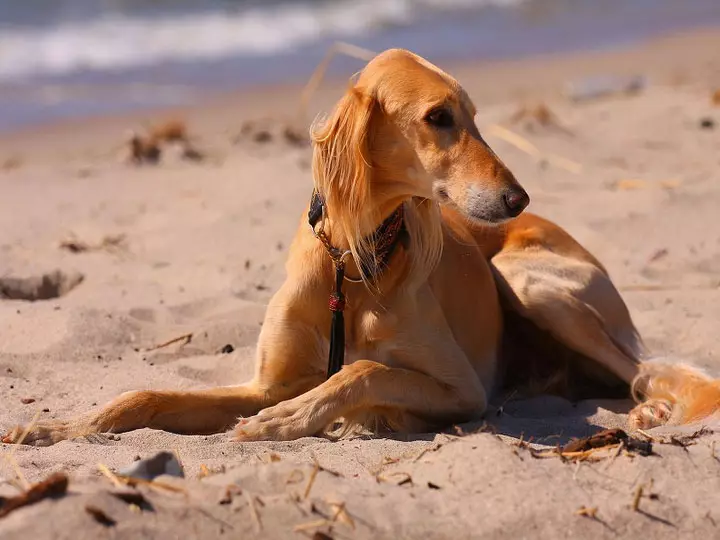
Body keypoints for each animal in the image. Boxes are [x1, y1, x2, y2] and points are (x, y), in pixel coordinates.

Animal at [2, 49, 716, 448]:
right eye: (439, 118)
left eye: (475, 116)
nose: (517, 198)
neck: (351, 264)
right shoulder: (265, 382)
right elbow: (143, 397)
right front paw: (57, 429)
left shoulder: (463, 387)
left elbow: (361, 370)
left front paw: (293, 423)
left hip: (529, 279)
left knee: (646, 367)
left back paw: (653, 405)